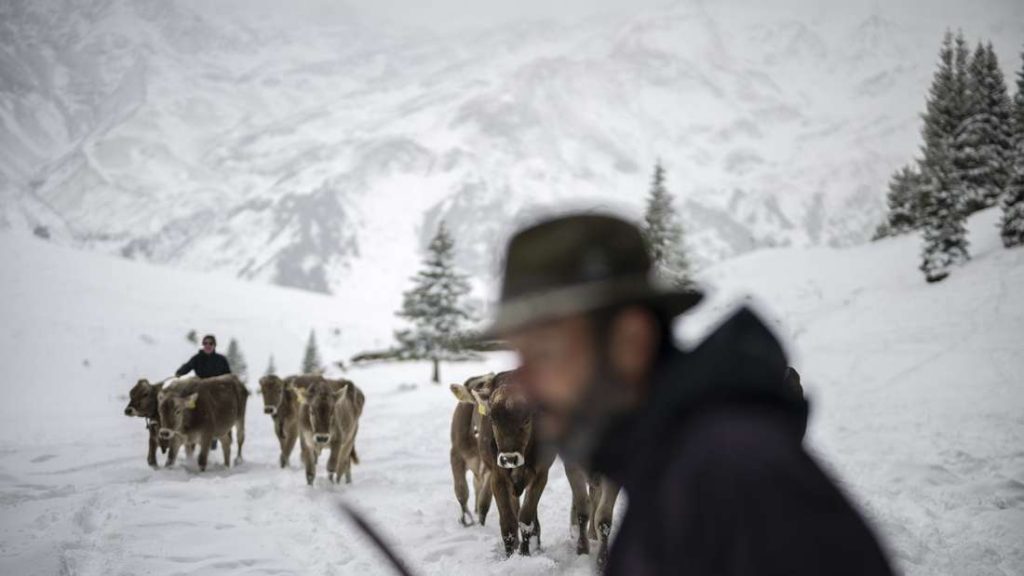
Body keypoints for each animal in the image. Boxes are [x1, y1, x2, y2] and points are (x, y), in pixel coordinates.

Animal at [452, 368, 557, 553]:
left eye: (527, 419)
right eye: (493, 420)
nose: (509, 458)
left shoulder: (540, 475)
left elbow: (526, 519)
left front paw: (525, 552)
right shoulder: (497, 476)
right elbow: (508, 522)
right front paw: (510, 554)